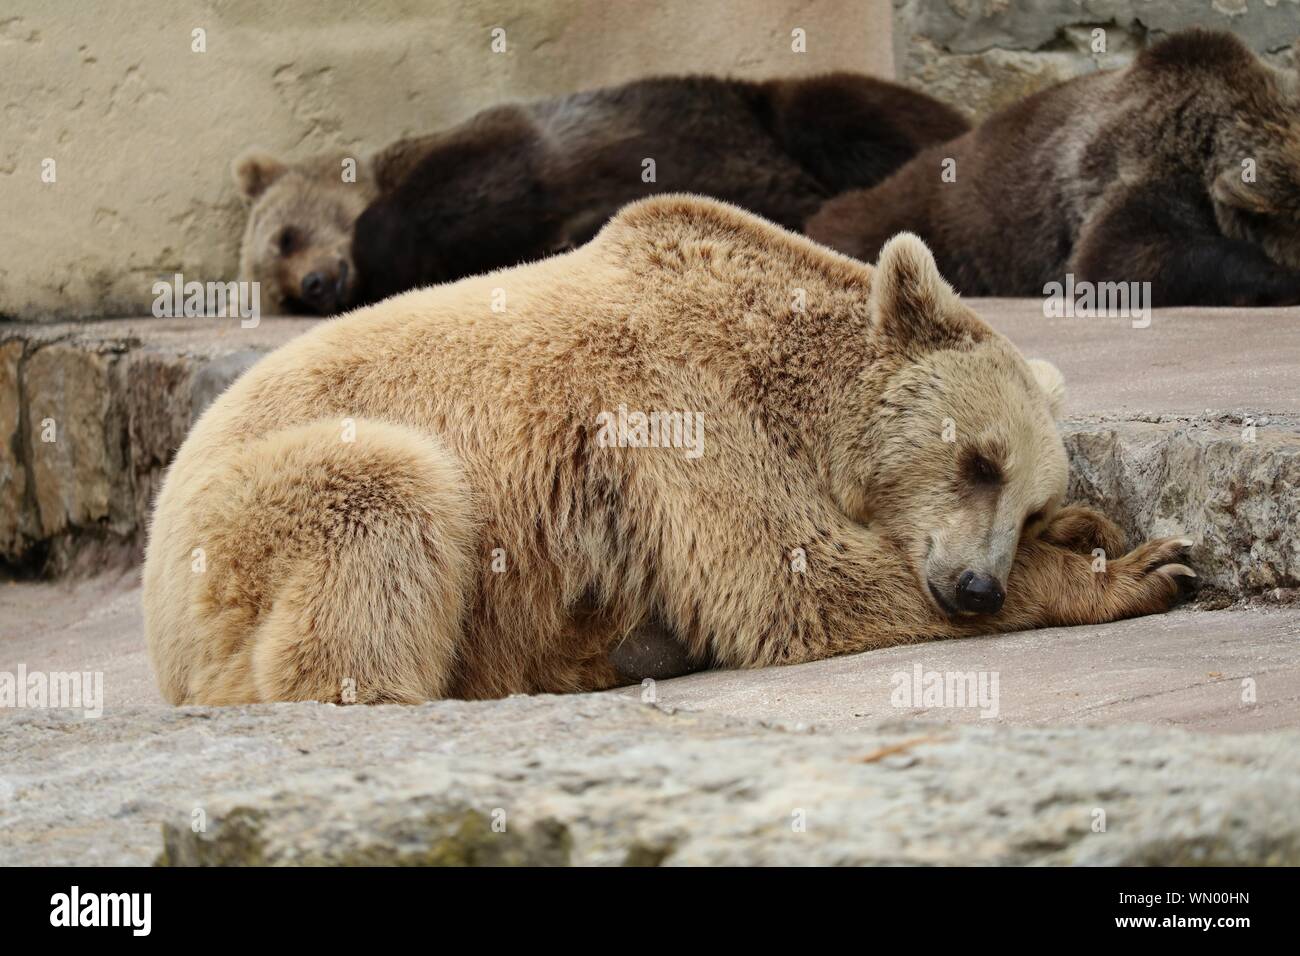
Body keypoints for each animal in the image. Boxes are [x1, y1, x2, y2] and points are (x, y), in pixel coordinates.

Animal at [144, 195, 1195, 706]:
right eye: (977, 460)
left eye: (1023, 495)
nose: (975, 587)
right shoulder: (674, 406)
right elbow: (794, 582)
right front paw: (1146, 566)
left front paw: (1093, 526)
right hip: (245, 527)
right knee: (382, 497)